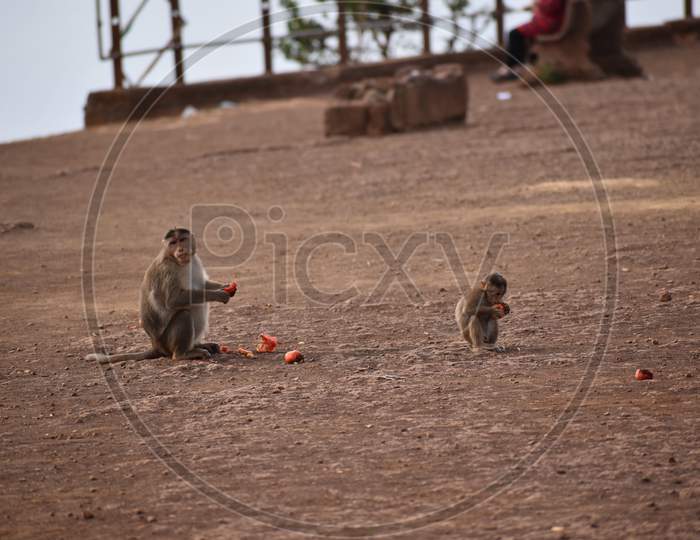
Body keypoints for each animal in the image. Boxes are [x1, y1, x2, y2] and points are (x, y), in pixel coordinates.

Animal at [85, 227, 231, 364]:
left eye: (182, 240)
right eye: (173, 243)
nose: (180, 250)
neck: (177, 260)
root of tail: (156, 346)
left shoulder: (195, 261)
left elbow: (202, 284)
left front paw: (225, 286)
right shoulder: (167, 270)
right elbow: (174, 300)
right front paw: (218, 294)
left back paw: (198, 345)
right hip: (166, 342)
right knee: (184, 315)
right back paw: (183, 354)